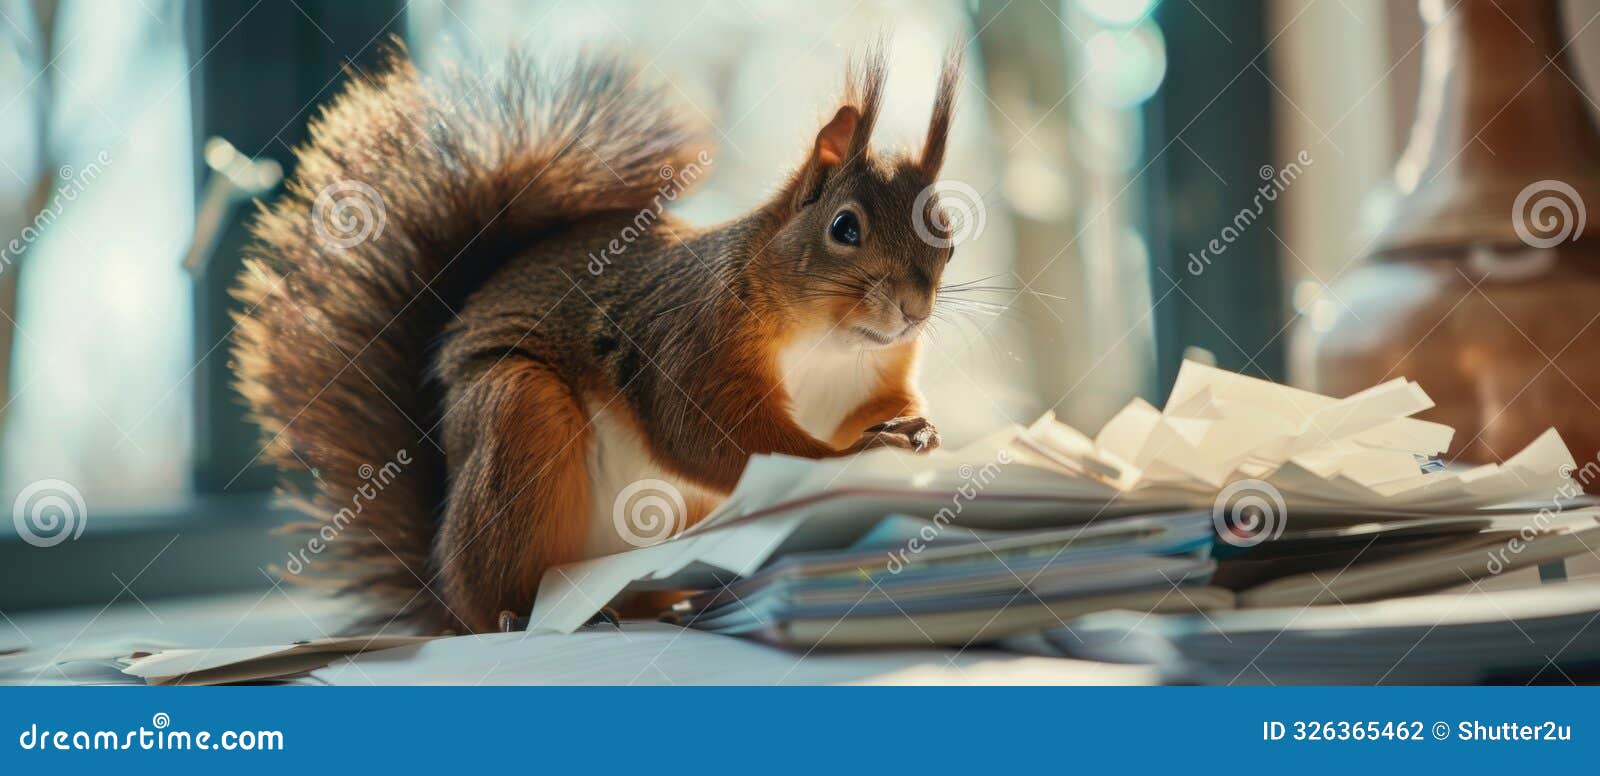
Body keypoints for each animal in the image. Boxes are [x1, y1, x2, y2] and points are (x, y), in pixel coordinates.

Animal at [231, 44, 963, 634]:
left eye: (949, 234)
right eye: (845, 228)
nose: (911, 309)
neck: (830, 343)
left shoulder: (869, 380)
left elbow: (875, 410)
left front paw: (919, 431)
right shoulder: (688, 340)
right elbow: (713, 436)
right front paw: (856, 454)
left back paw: (656, 603)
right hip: (518, 409)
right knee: (485, 595)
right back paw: (513, 613)